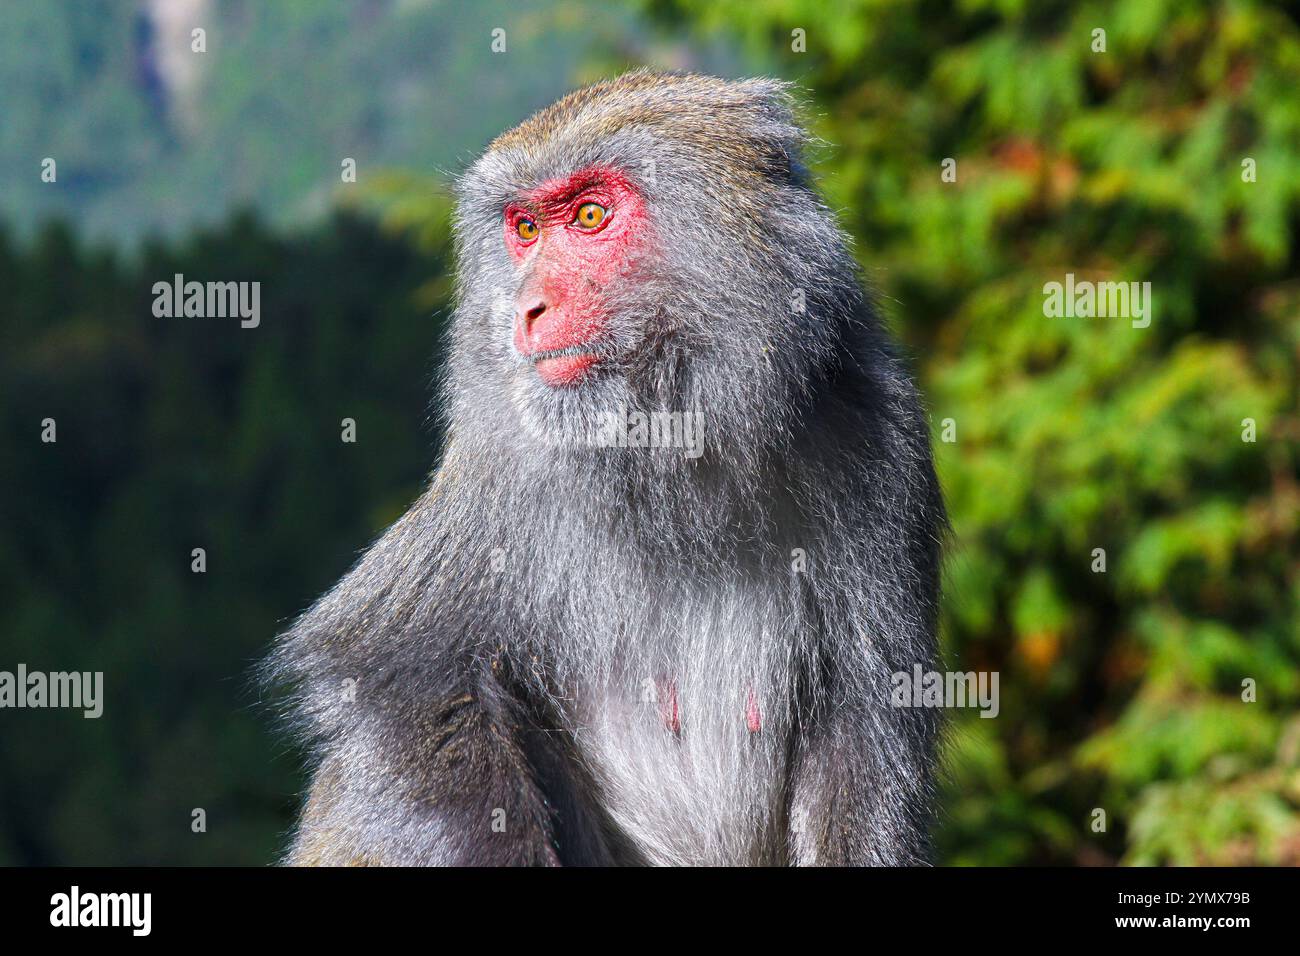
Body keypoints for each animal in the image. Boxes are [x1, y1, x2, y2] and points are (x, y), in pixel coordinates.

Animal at [268, 70, 947, 866]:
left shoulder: (880, 439)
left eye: (590, 214)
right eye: (526, 229)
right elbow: (392, 673)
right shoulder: (502, 469)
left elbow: (865, 722)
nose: (527, 308)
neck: (677, 445)